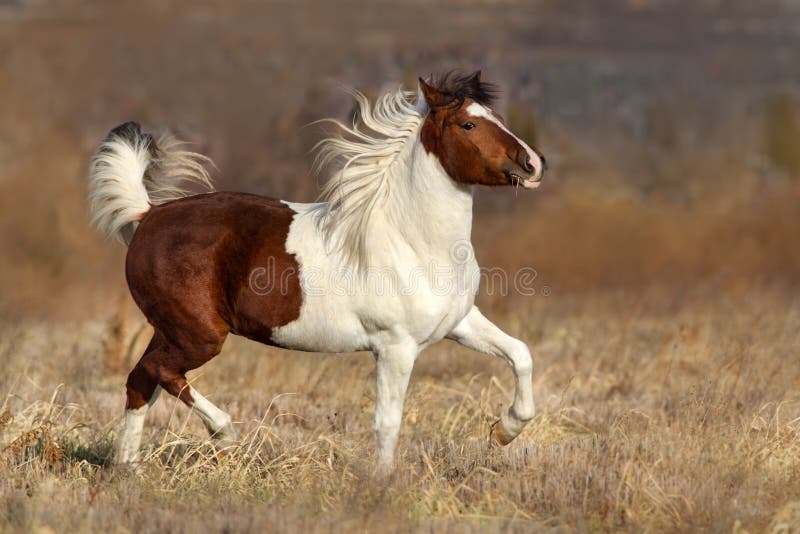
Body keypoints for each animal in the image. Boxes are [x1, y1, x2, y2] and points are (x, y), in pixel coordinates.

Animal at [88, 71, 546, 472]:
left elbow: (521, 354)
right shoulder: (395, 347)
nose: (534, 164)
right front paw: (382, 487)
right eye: (468, 124)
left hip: (171, 330)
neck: (412, 240)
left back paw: (128, 469)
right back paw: (225, 435)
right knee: (161, 372)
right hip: (199, 335)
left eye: (498, 117)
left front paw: (504, 431)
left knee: (140, 381)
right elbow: (388, 423)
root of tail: (148, 215)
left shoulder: (460, 323)